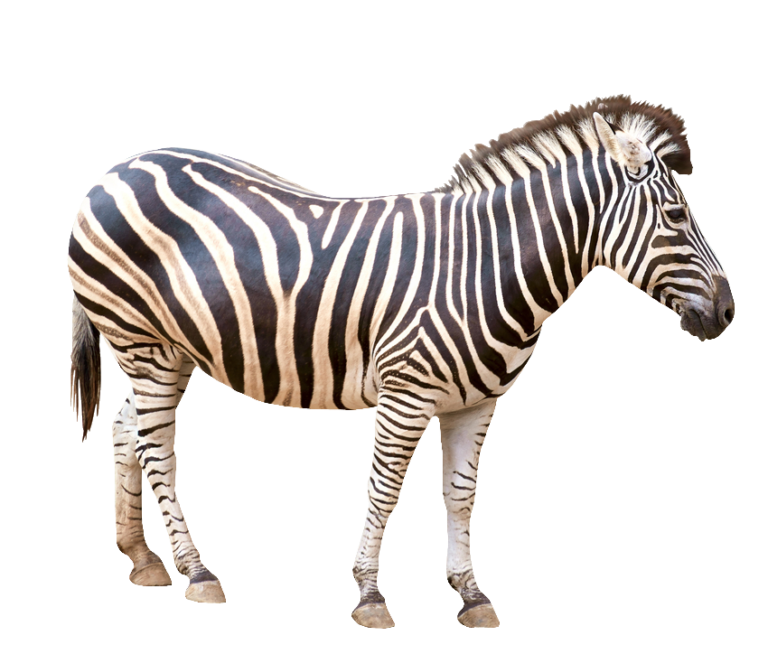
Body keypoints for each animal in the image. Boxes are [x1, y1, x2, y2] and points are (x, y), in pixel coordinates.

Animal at [68, 95, 734, 628]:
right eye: (677, 216)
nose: (727, 311)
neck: (483, 267)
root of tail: (118, 168)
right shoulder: (405, 393)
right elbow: (384, 490)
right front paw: (369, 595)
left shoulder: (477, 402)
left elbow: (460, 493)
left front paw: (471, 595)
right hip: (143, 345)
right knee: (159, 451)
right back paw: (198, 573)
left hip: (168, 351)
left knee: (128, 431)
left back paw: (143, 559)